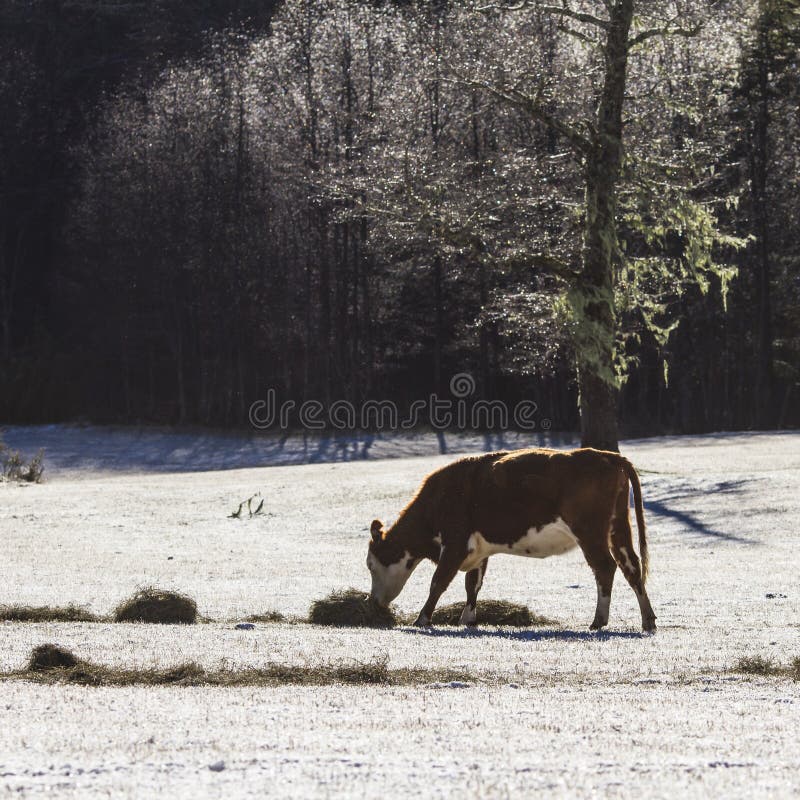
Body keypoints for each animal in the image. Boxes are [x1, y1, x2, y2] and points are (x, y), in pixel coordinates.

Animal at [366, 447, 656, 632]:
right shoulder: (478, 551)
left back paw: (598, 620)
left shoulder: (455, 543)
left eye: (370, 565)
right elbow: (472, 584)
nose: (374, 603)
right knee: (631, 567)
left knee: (605, 567)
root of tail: (608, 456)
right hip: (618, 529)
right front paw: (467, 619)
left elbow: (438, 582)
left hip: (590, 532)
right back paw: (648, 620)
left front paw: (422, 619)